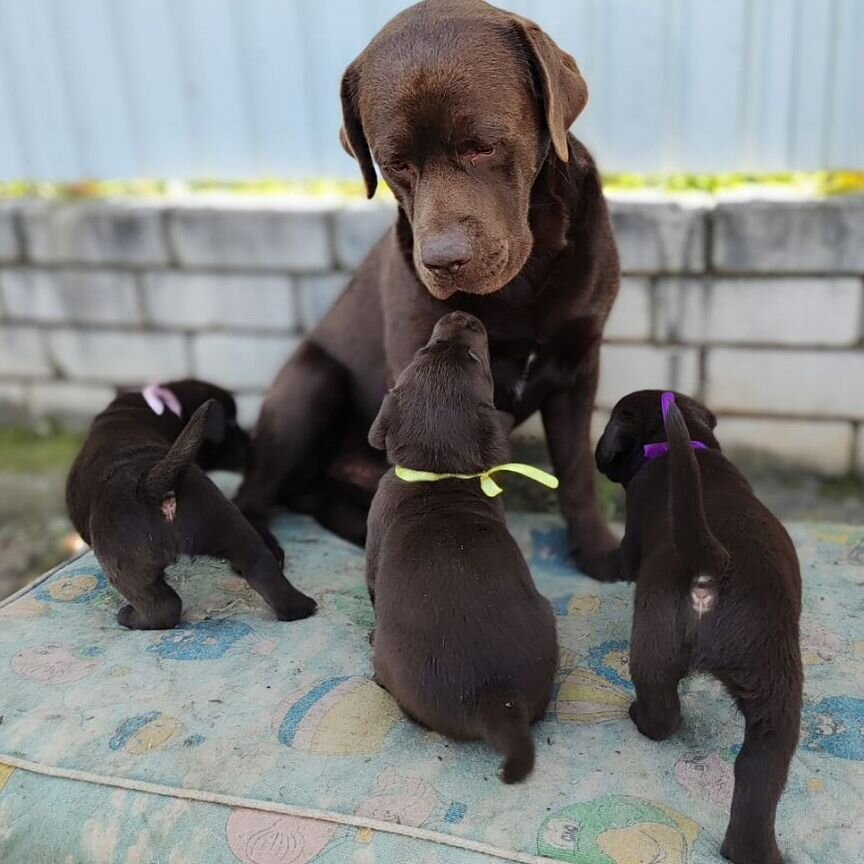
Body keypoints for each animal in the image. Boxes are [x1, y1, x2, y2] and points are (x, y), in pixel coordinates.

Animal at [66, 382, 318, 632]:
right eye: (231, 422)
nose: (251, 446)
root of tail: (150, 483)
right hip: (225, 522)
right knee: (262, 567)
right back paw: (302, 607)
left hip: (126, 567)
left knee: (163, 607)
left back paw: (130, 617)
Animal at [236, 0, 620, 584]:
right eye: (396, 164)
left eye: (483, 146)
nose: (443, 260)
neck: (522, 282)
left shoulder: (579, 367)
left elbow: (576, 470)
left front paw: (597, 551)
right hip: (307, 383)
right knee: (254, 492)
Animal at [366, 310, 556, 784]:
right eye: (429, 348)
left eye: (475, 358)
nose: (461, 313)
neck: (440, 471)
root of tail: (497, 698)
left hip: (391, 662)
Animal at [592, 390, 804, 864]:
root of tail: (716, 564)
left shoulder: (630, 542)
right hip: (775, 688)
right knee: (758, 772)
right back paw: (755, 852)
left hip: (652, 640)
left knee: (664, 715)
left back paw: (639, 717)